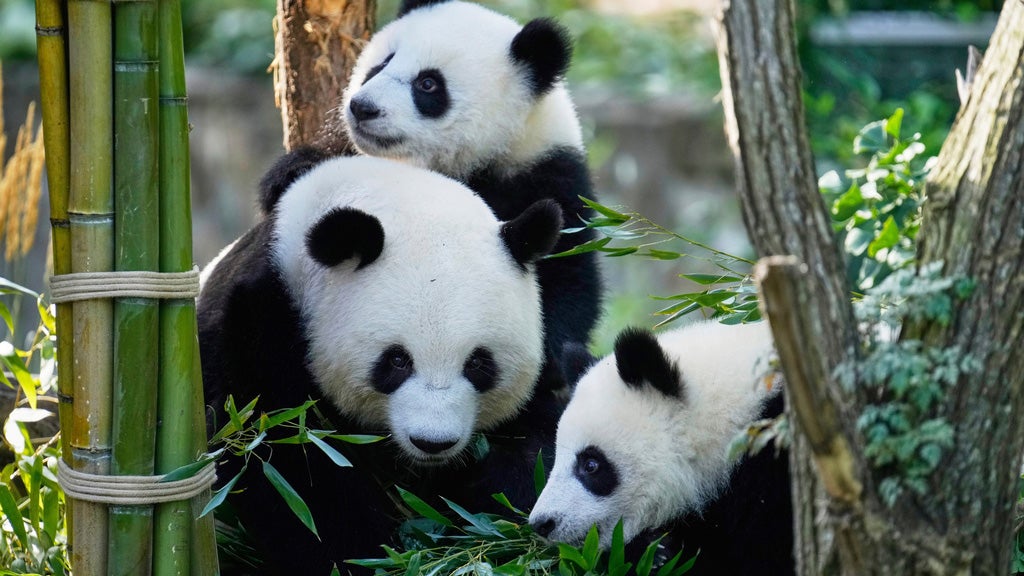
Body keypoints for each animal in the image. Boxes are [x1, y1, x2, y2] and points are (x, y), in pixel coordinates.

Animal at [198, 154, 565, 574]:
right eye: (397, 360)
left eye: (478, 364)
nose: (432, 442)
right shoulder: (259, 325)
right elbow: (286, 463)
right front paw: (366, 554)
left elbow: (542, 441)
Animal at [529, 321, 794, 576]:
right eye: (555, 458)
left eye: (591, 464)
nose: (542, 523)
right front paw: (653, 551)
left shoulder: (772, 470)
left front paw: (653, 552)